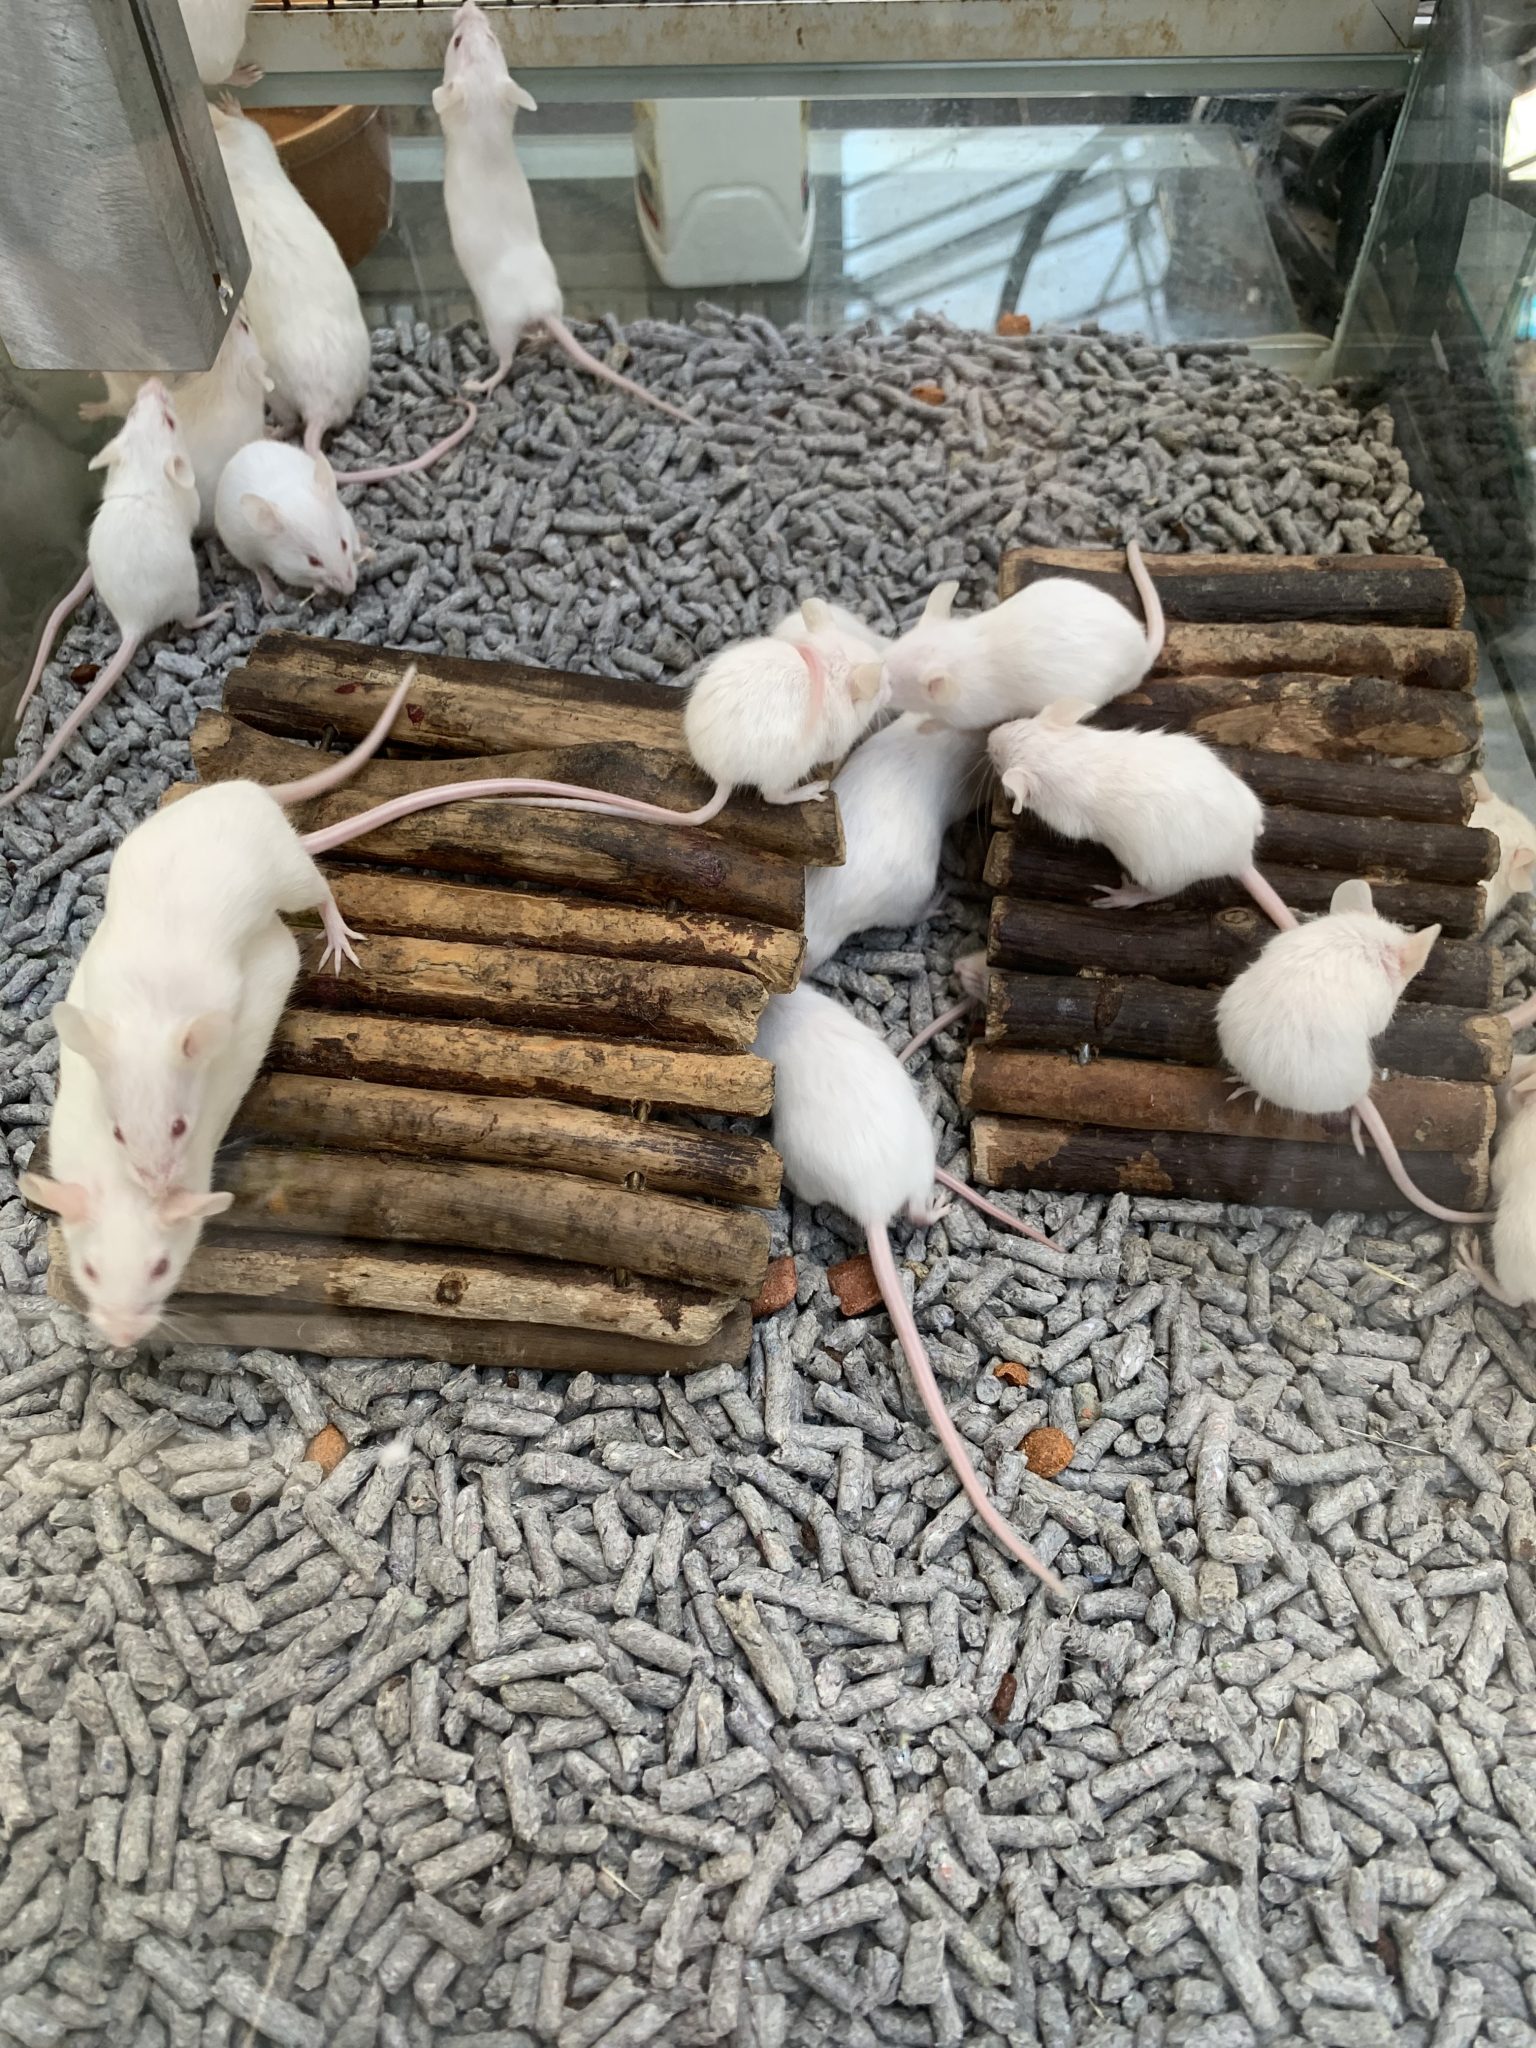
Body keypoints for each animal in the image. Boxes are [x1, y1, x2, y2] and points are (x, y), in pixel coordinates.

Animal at [2, 380, 202, 812]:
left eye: (134, 415)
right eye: (171, 421)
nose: (153, 384)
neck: (143, 462)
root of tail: (133, 624)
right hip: (190, 592)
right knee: (191, 619)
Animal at [433, 2, 691, 423]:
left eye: (458, 41)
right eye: (488, 38)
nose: (470, 8)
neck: (485, 122)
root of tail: (539, 307)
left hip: (498, 325)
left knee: (506, 361)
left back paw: (478, 383)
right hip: (551, 303)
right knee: (538, 334)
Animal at [883, 541, 1165, 730]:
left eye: (892, 684)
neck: (956, 654)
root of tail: (1142, 651)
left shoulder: (967, 716)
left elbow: (943, 724)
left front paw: (924, 726)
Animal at [989, 698, 1296, 931]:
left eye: (998, 760)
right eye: (1019, 722)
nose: (989, 737)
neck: (1061, 754)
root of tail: (1242, 858)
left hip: (1155, 872)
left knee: (1160, 892)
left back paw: (1123, 896)